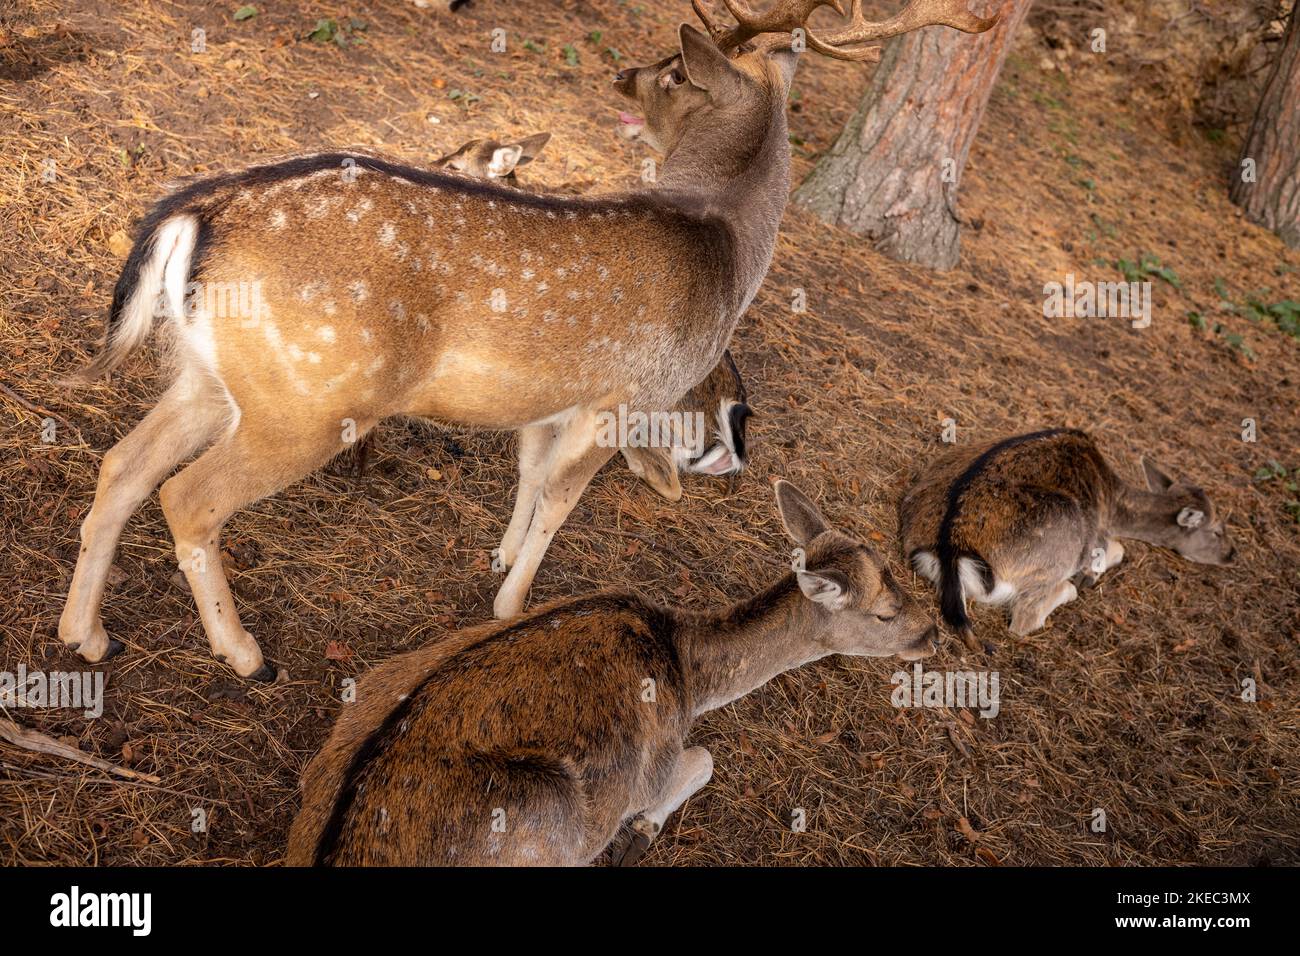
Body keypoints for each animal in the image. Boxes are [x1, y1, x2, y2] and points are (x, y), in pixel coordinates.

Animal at [59, 0, 996, 679]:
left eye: (668, 73)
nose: (622, 73)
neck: (726, 249)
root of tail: (195, 213)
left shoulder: (557, 398)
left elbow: (529, 477)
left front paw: (498, 556)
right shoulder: (627, 396)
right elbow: (560, 502)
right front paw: (512, 608)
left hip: (213, 376)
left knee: (122, 464)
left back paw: (85, 635)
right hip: (311, 397)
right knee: (188, 497)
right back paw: (244, 653)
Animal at [285, 480, 938, 867]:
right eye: (884, 612)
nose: (931, 633)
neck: (690, 677)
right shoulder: (654, 765)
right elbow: (704, 760)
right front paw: (640, 834)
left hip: (365, 699)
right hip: (544, 816)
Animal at [899, 428, 1237, 650]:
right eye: (1217, 530)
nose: (1233, 554)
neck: (1114, 504)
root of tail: (949, 548)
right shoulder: (1097, 537)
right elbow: (1118, 549)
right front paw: (1091, 573)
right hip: (1063, 537)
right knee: (1025, 619)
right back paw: (1070, 586)